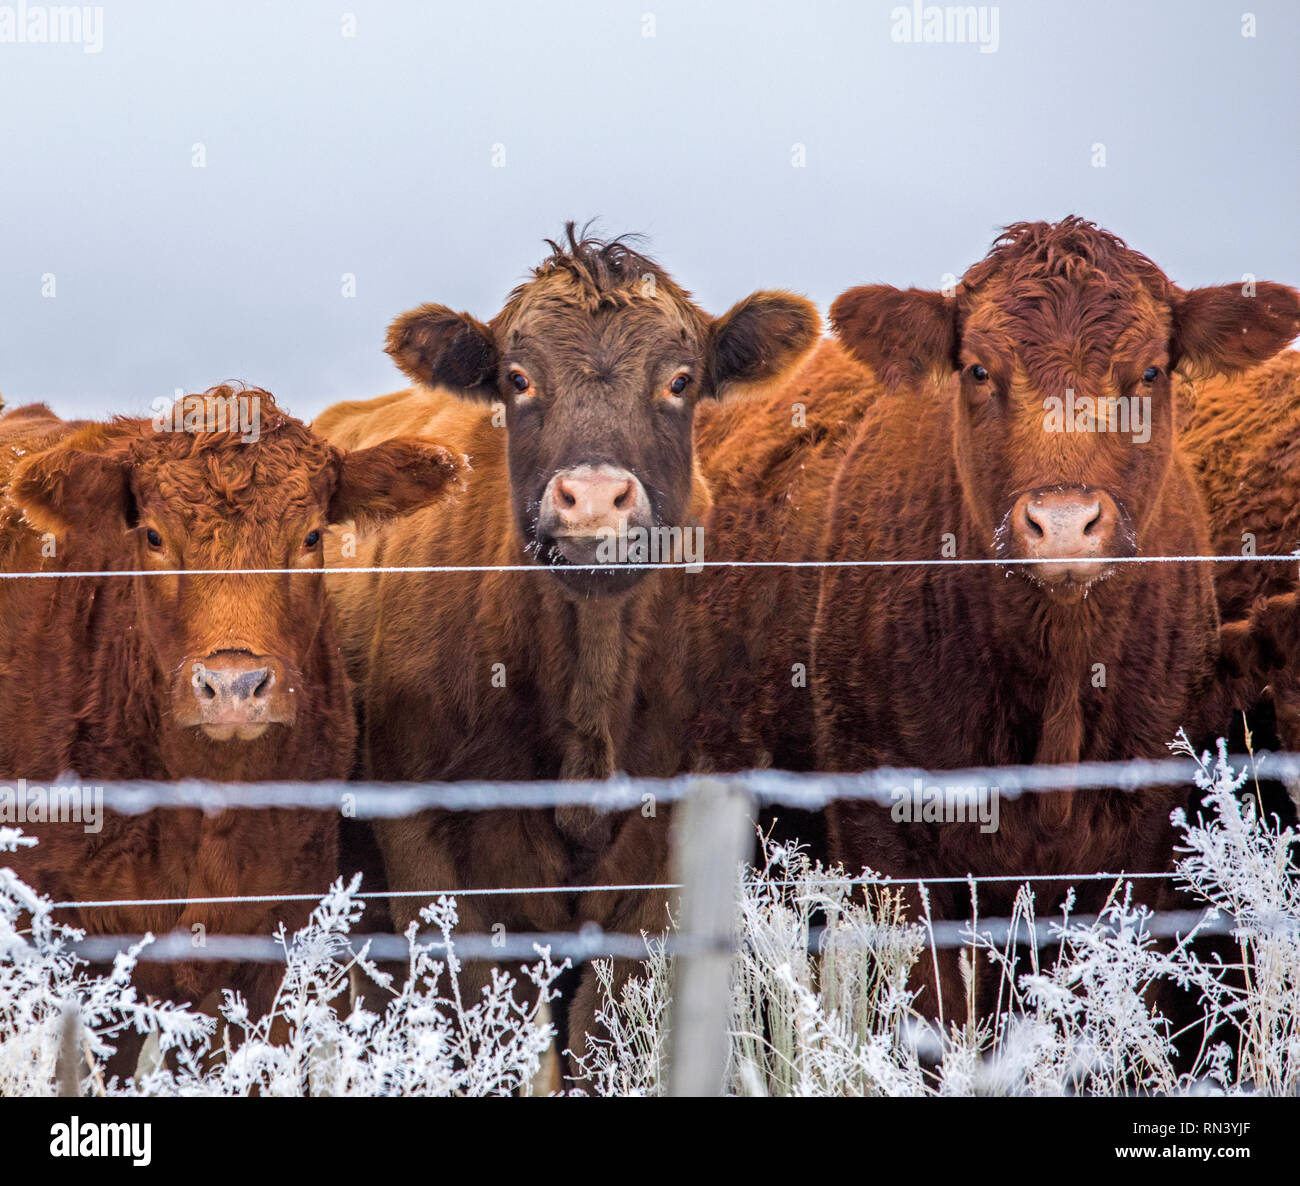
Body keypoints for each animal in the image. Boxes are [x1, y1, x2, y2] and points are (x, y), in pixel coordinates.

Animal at [316, 225, 820, 1075]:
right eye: (519, 380)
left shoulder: (657, 883)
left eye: (680, 380)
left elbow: (600, 1043)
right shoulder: (431, 861)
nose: (591, 500)